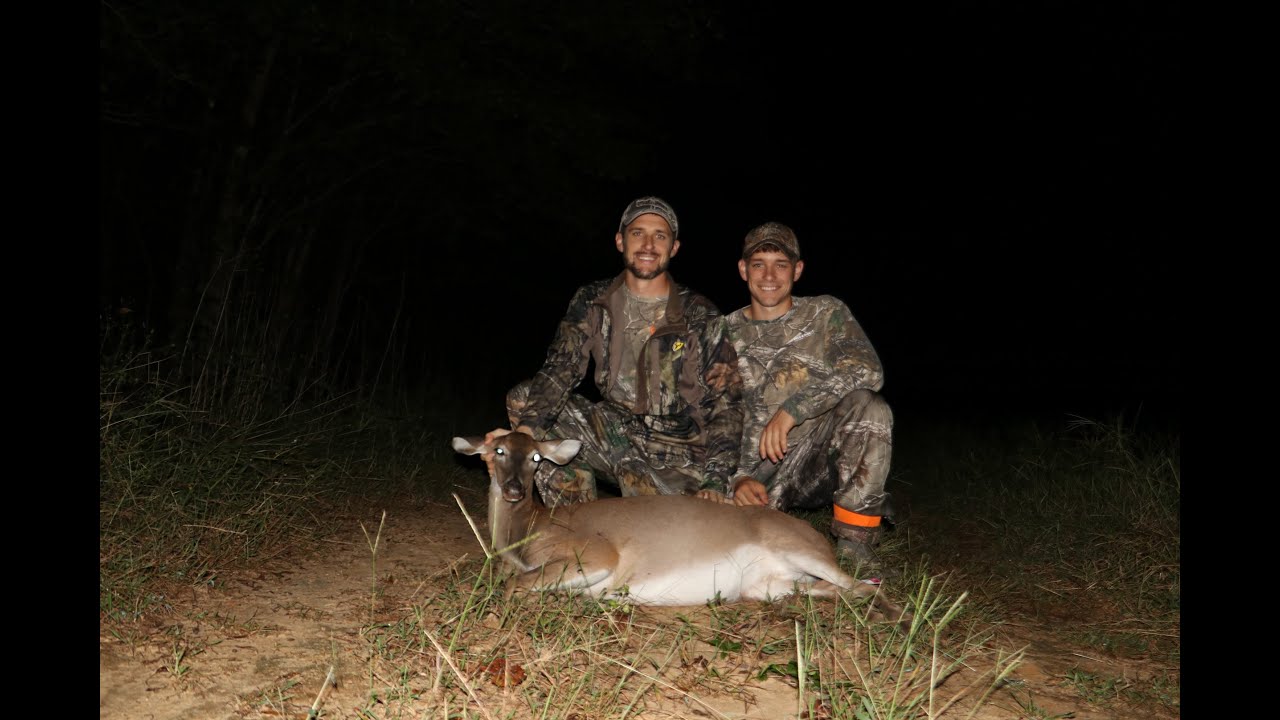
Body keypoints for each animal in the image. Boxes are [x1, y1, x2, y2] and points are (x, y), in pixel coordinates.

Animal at [451, 432, 909, 625]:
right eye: (497, 450)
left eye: (535, 458)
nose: (513, 489)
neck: (525, 530)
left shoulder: (596, 553)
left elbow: (515, 587)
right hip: (769, 585)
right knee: (840, 590)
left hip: (798, 548)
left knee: (865, 584)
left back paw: (896, 620)